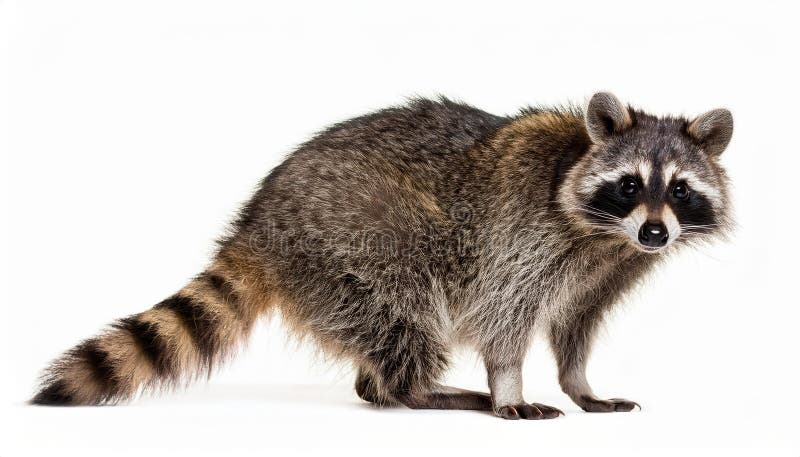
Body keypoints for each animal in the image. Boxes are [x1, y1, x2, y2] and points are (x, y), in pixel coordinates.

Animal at [32, 92, 733, 419]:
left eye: (678, 190)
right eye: (629, 185)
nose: (654, 234)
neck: (606, 237)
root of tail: (259, 221)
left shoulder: (605, 271)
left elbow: (575, 325)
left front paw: (580, 382)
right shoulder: (522, 237)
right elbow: (503, 314)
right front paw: (508, 385)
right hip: (352, 240)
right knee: (402, 310)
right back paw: (412, 388)